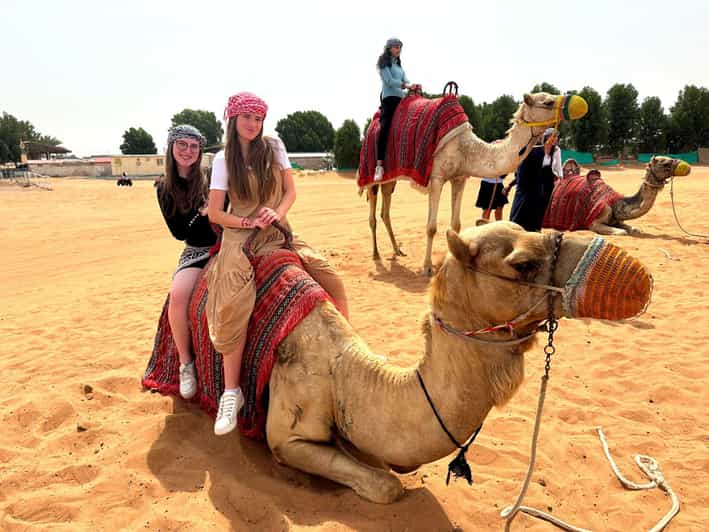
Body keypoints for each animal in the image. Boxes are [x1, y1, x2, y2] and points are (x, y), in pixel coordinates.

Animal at [364, 92, 588, 276]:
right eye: (548, 102)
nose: (580, 103)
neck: (466, 149)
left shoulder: (459, 178)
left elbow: (456, 224)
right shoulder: (436, 178)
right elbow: (431, 227)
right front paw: (427, 268)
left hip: (391, 180)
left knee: (385, 210)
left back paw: (397, 250)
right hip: (371, 174)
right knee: (373, 212)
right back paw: (376, 255)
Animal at [543, 156, 691, 235]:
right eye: (665, 163)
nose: (687, 167)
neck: (615, 203)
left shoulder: (618, 219)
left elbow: (634, 229)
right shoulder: (594, 221)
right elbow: (622, 232)